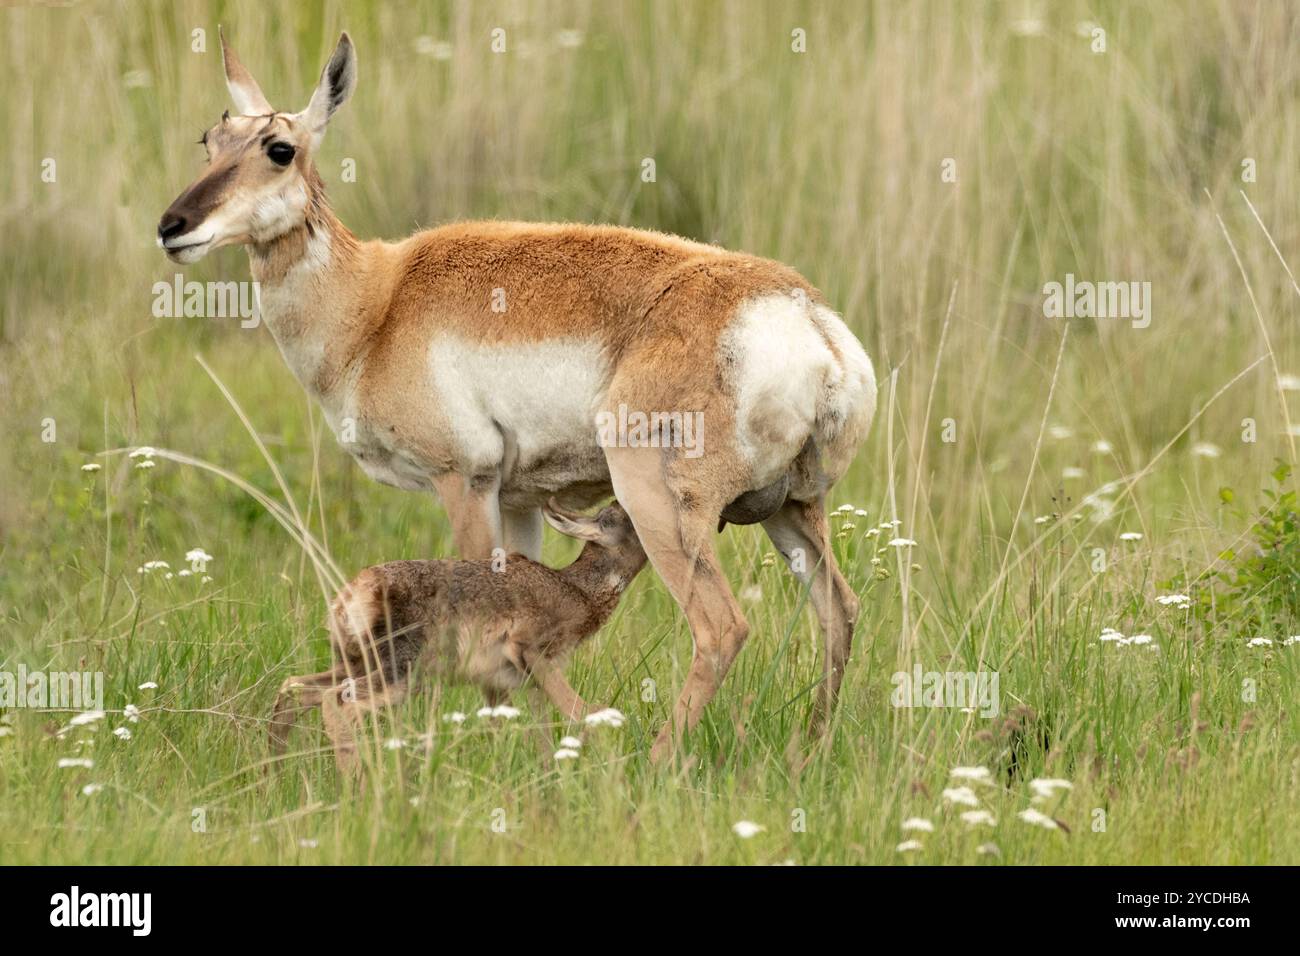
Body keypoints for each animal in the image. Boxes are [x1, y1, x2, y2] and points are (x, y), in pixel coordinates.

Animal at [269, 500, 648, 774]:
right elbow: (585, 712)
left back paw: (273, 777)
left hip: (355, 666)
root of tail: (354, 590)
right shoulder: (531, 653)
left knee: (294, 688)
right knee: (336, 703)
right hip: (400, 676)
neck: (576, 589)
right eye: (628, 515)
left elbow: (540, 732)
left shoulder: (516, 684)